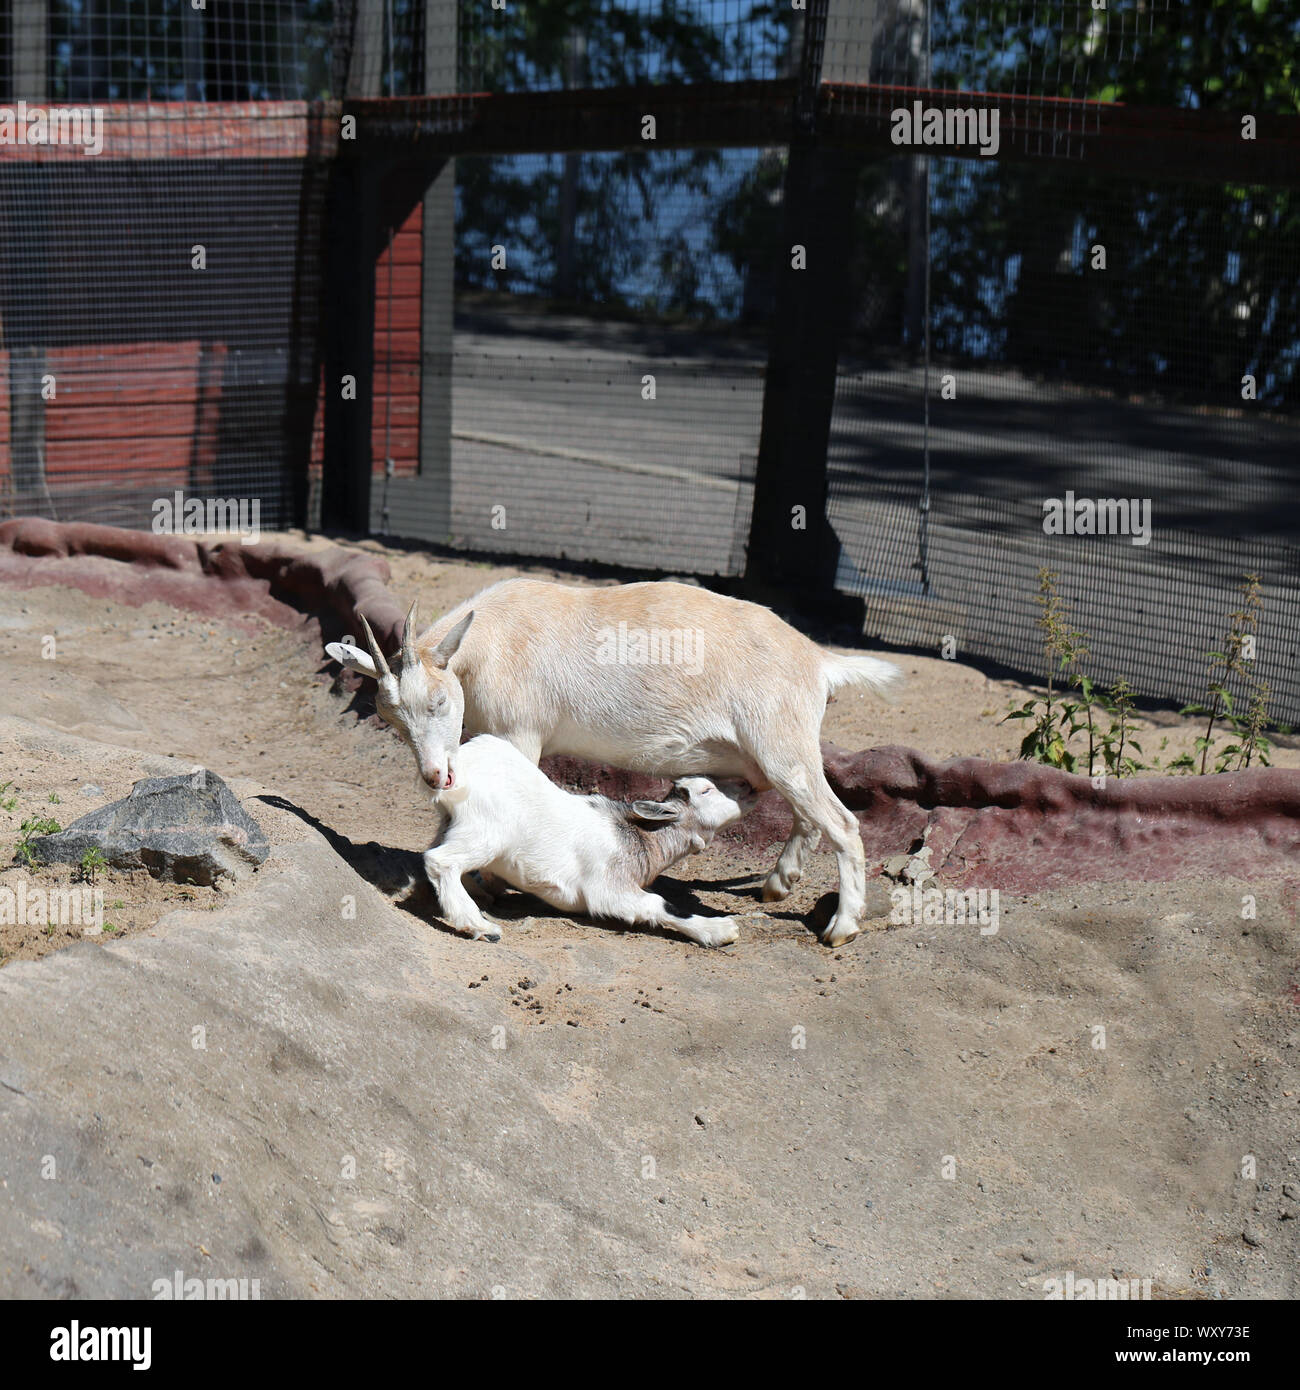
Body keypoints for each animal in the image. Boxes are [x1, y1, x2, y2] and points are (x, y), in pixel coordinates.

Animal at [419, 734, 754, 946]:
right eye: (706, 790)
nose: (747, 785)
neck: (639, 834)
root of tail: (456, 770)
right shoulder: (608, 888)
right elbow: (660, 904)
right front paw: (719, 929)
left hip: (454, 825)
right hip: (487, 832)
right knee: (438, 861)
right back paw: (478, 925)